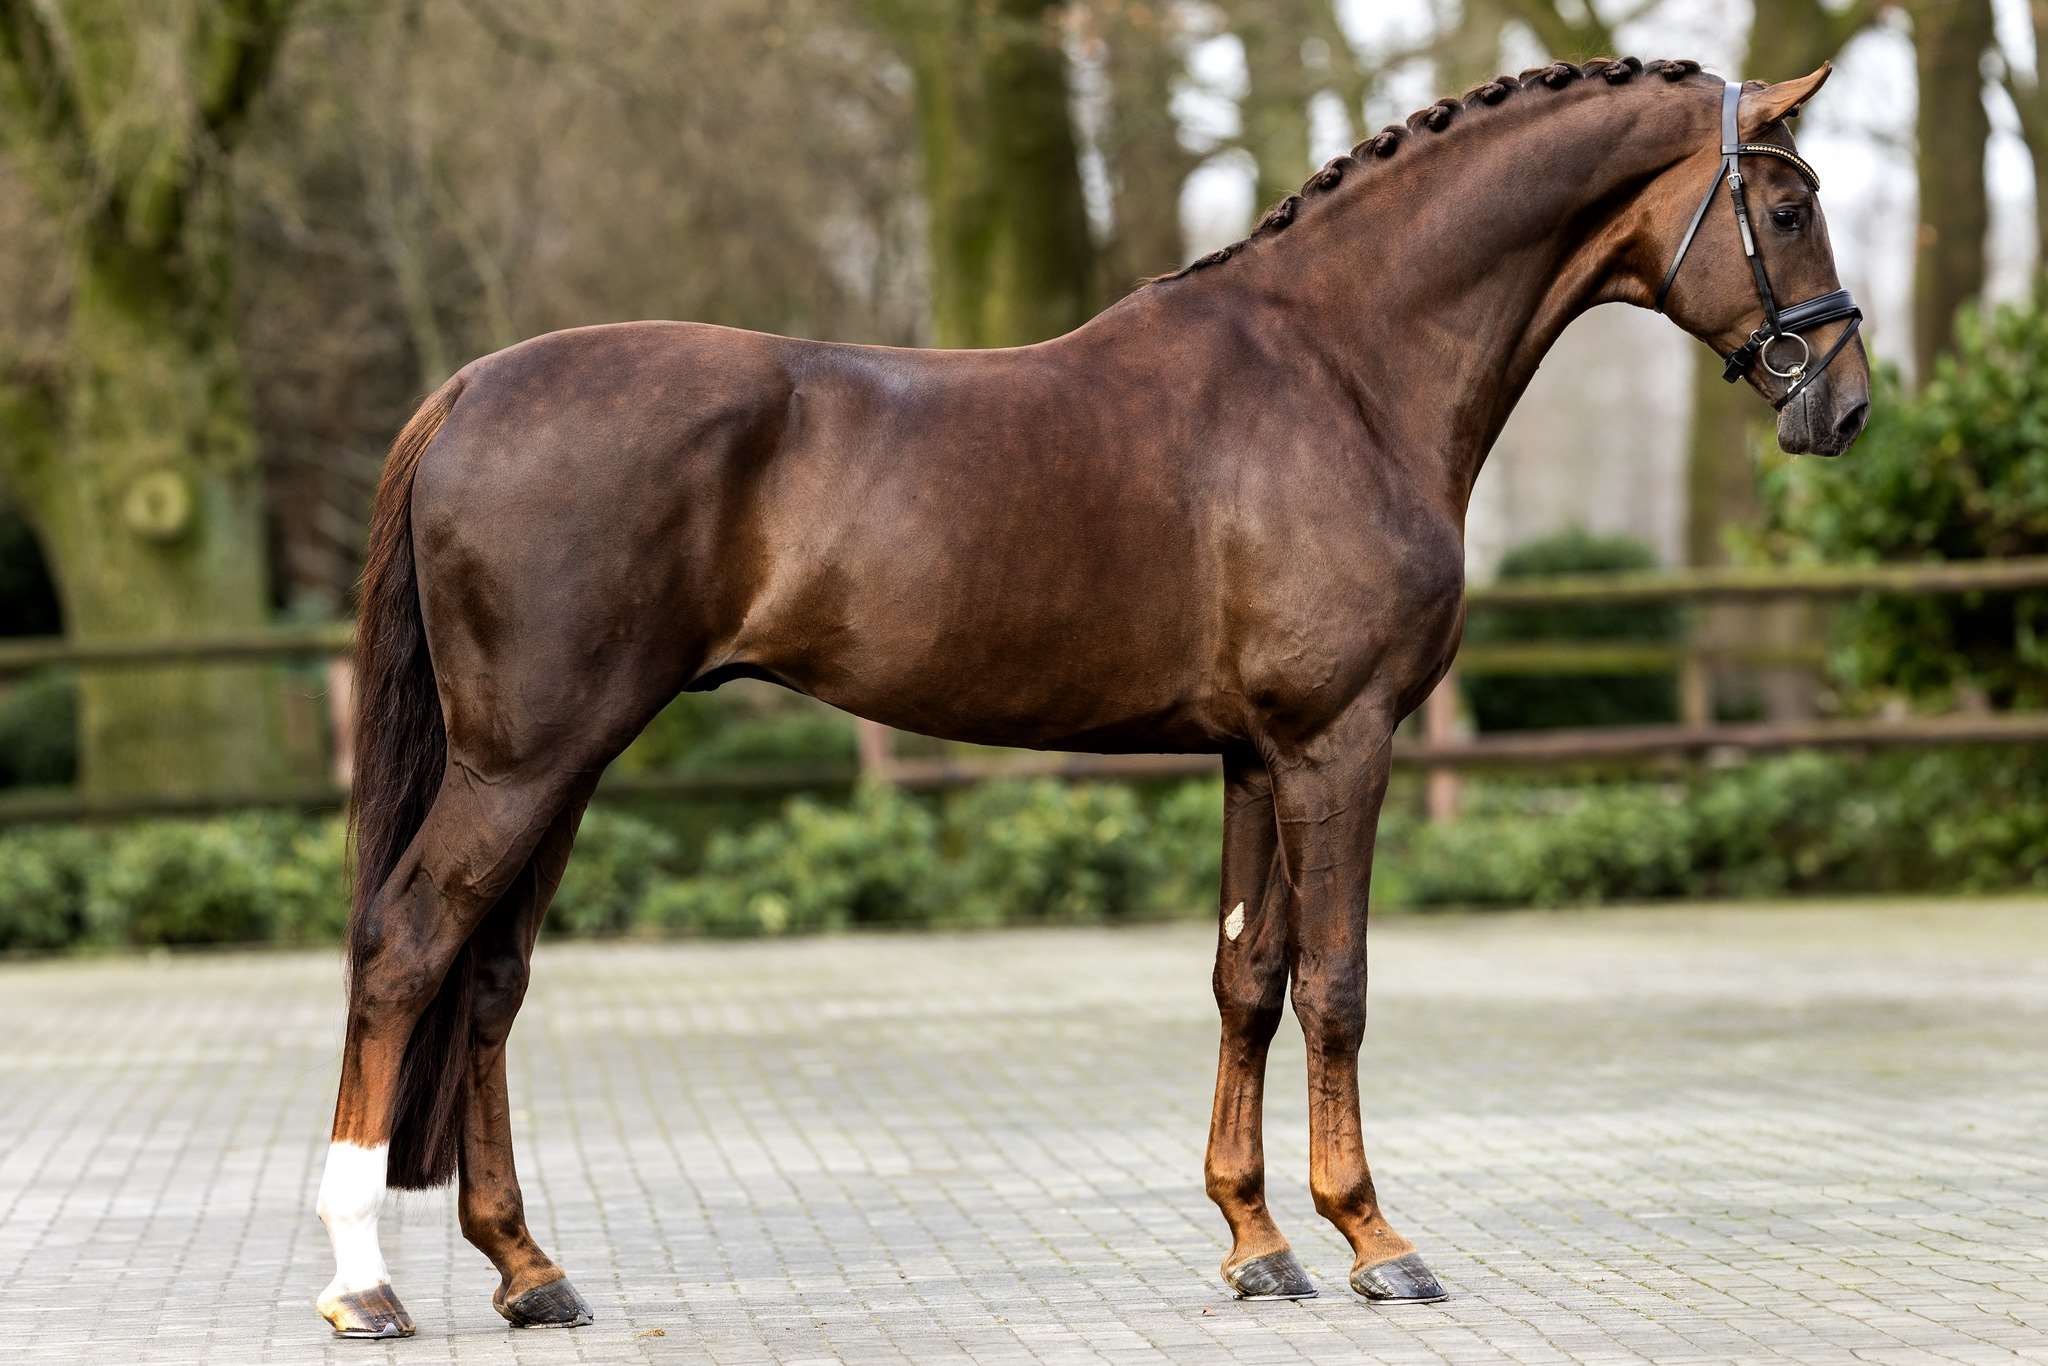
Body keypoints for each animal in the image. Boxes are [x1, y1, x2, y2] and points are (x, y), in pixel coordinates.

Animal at [316, 57, 1871, 1338]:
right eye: (1788, 205)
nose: (1842, 406)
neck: (1341, 371)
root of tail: (468, 387)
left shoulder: (1256, 756)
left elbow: (1248, 980)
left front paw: (1256, 1242)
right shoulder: (1339, 745)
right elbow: (1340, 983)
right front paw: (1374, 1239)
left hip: (562, 764)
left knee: (490, 980)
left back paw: (528, 1269)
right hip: (525, 762)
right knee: (403, 946)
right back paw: (364, 1284)